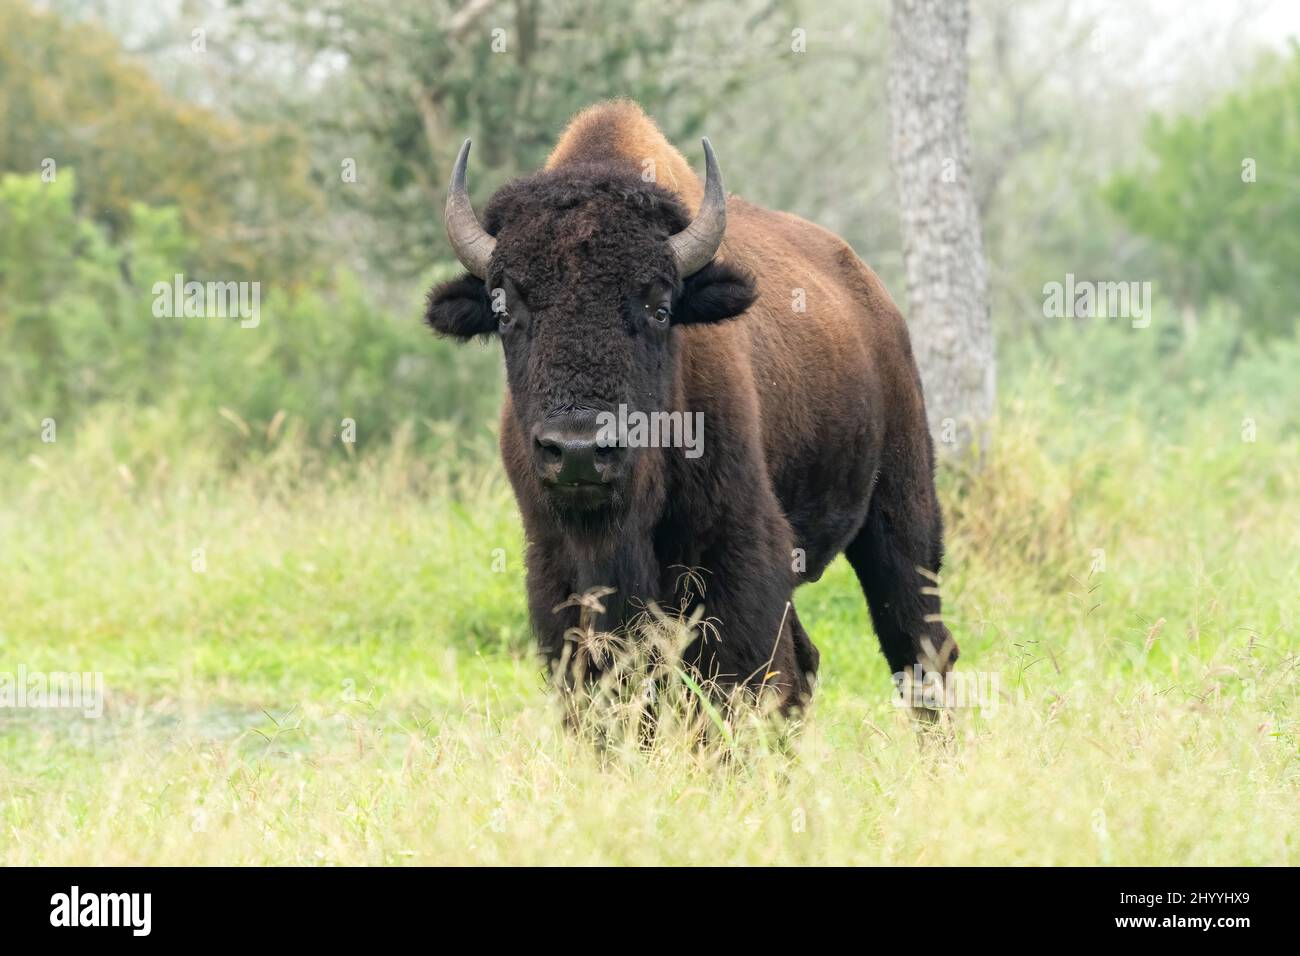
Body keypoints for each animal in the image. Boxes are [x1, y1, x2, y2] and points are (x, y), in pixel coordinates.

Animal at [426, 101, 957, 715]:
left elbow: (732, 681)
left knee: (919, 647)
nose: (579, 451)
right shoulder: (556, 568)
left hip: (902, 515)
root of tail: (876, 301)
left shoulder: (738, 558)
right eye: (505, 310)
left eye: (660, 307)